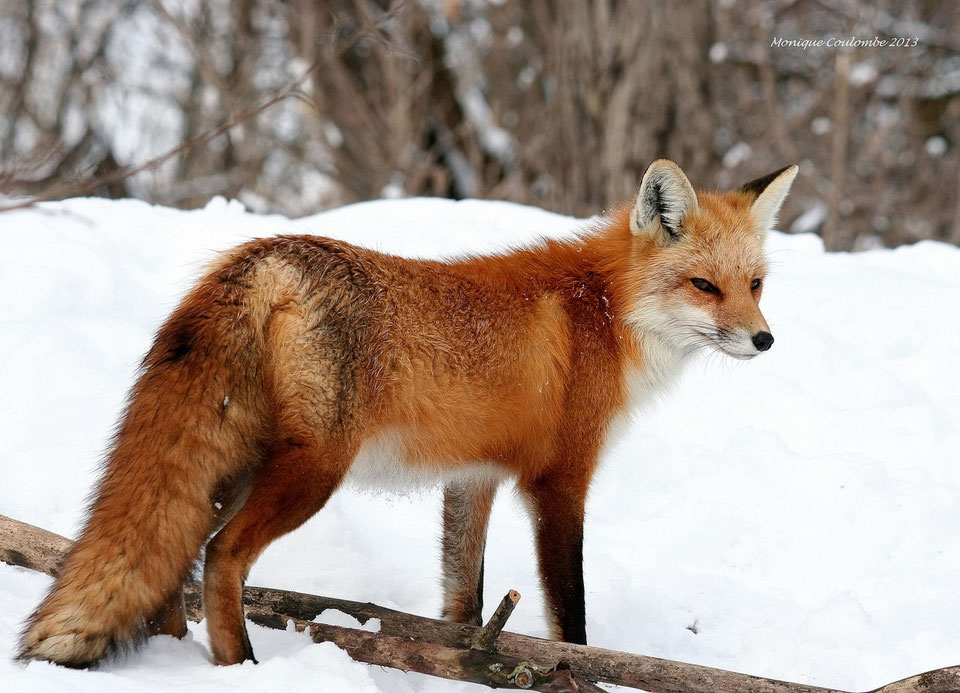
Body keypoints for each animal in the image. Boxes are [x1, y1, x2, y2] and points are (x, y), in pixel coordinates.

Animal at [19, 159, 797, 668]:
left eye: (756, 284)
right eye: (704, 286)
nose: (765, 339)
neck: (603, 313)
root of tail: (265, 254)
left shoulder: (475, 477)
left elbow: (463, 606)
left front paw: (467, 666)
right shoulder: (558, 482)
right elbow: (570, 614)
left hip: (235, 465)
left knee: (171, 559)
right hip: (311, 472)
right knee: (221, 555)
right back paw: (238, 665)